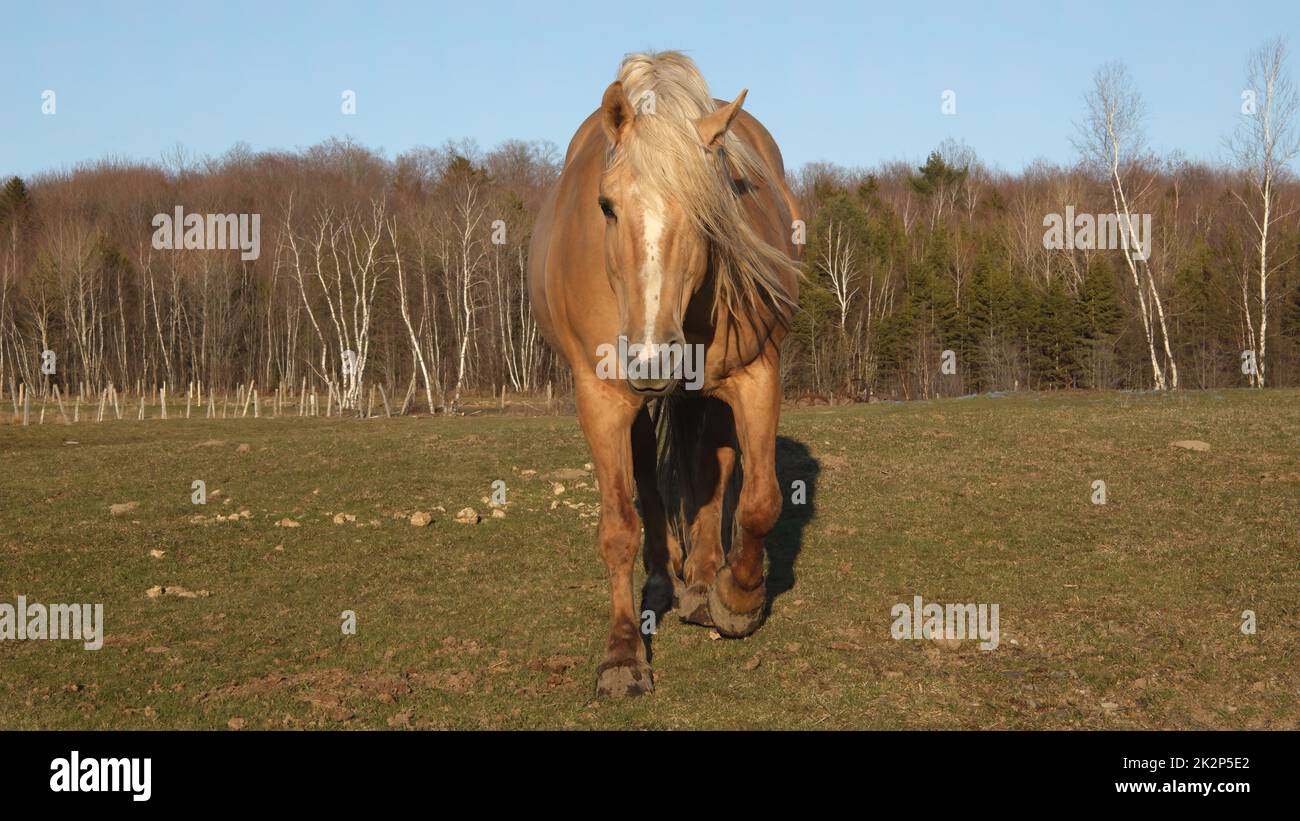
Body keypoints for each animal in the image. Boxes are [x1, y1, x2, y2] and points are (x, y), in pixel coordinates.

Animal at [527, 51, 801, 697]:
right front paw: (623, 656)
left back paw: (701, 583)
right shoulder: (601, 397)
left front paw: (737, 601)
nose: (653, 358)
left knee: (711, 471)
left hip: (704, 393)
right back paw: (662, 582)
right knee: (652, 483)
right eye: (606, 206)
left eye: (708, 211)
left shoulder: (755, 374)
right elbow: (617, 527)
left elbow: (758, 501)